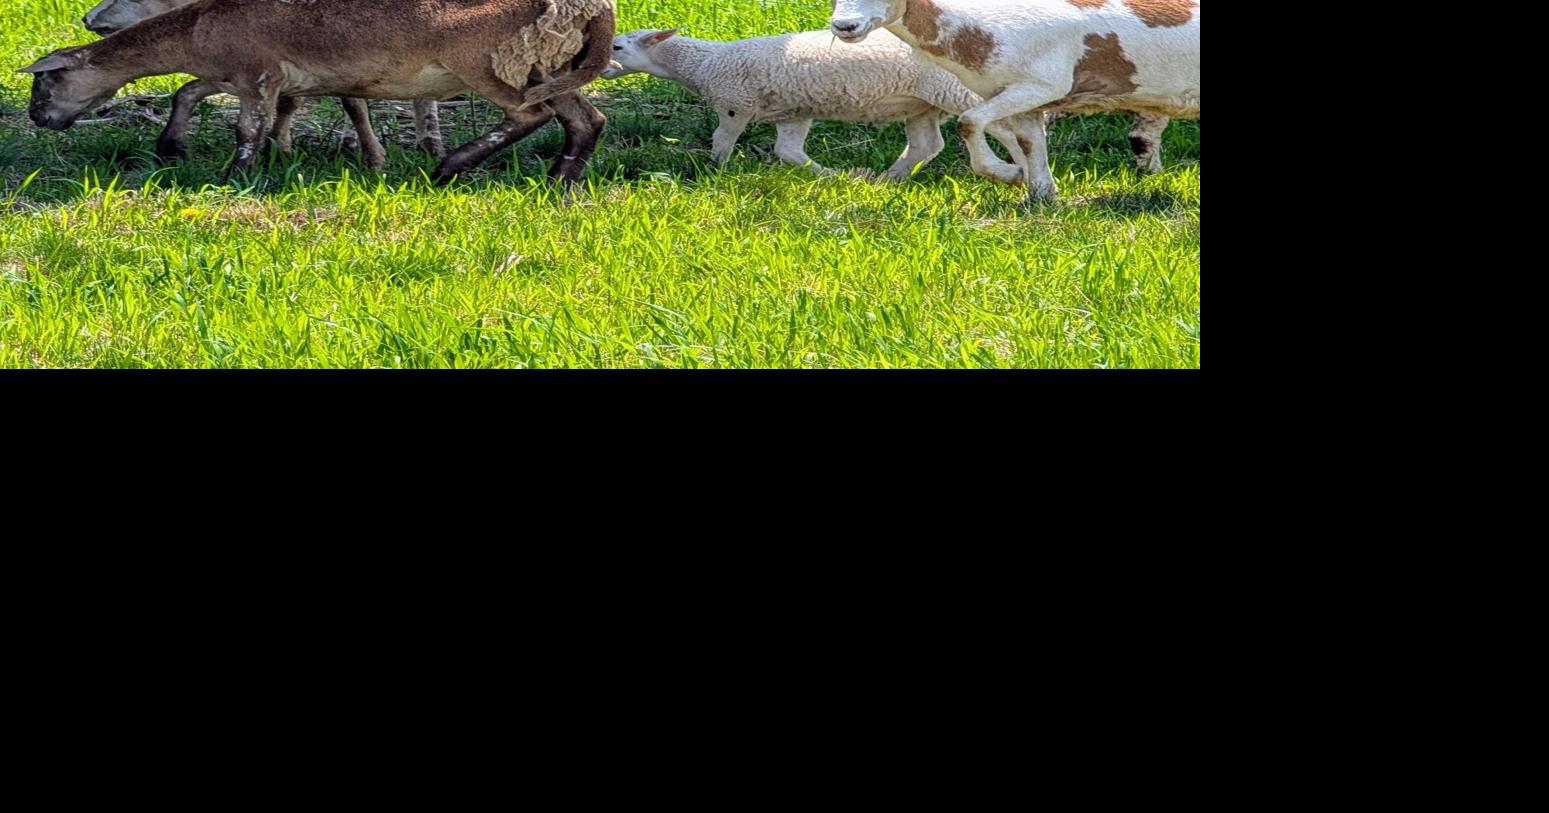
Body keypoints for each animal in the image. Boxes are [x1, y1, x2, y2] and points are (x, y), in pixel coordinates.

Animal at [600, 28, 1027, 182]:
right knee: (926, 145)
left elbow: (722, 139)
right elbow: (788, 152)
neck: (705, 62)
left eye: (617, 46)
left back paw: (1018, 170)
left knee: (1003, 126)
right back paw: (886, 179)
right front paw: (833, 176)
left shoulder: (735, 102)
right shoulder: (794, 111)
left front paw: (715, 171)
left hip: (955, 90)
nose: (600, 68)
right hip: (920, 103)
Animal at [829, 0, 1200, 200]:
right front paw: (1041, 194)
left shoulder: (1039, 85)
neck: (977, 34)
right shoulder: (1022, 99)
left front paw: (1007, 174)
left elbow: (968, 121)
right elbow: (1030, 144)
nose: (845, 26)